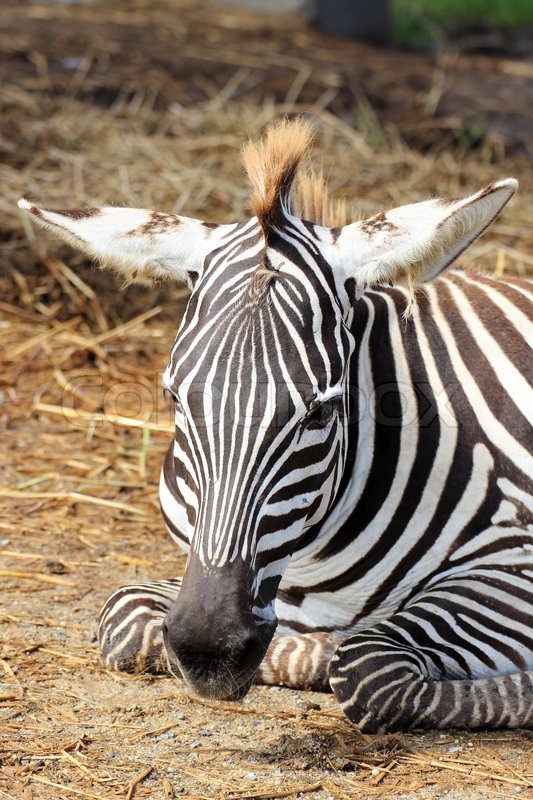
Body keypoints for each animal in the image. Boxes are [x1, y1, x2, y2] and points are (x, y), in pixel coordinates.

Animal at [19, 118, 533, 733]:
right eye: (175, 399)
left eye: (321, 412)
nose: (209, 651)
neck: (314, 560)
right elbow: (124, 619)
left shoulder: (514, 563)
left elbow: (365, 667)